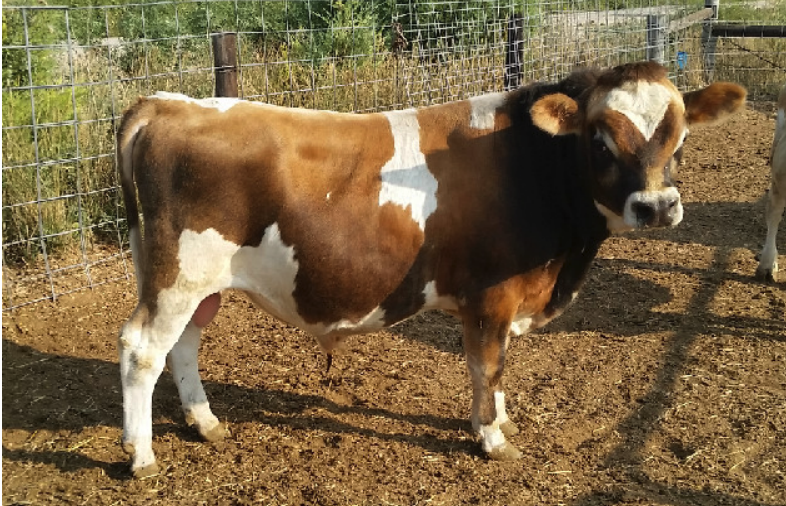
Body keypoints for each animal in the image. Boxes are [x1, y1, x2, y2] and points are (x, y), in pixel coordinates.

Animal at [117, 61, 746, 477]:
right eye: (599, 140)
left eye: (680, 136)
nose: (657, 207)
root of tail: (168, 103)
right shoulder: (491, 297)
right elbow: (487, 367)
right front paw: (491, 437)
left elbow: (499, 367)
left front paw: (501, 422)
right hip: (178, 278)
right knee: (142, 350)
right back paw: (142, 456)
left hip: (195, 284)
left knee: (183, 346)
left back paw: (205, 423)